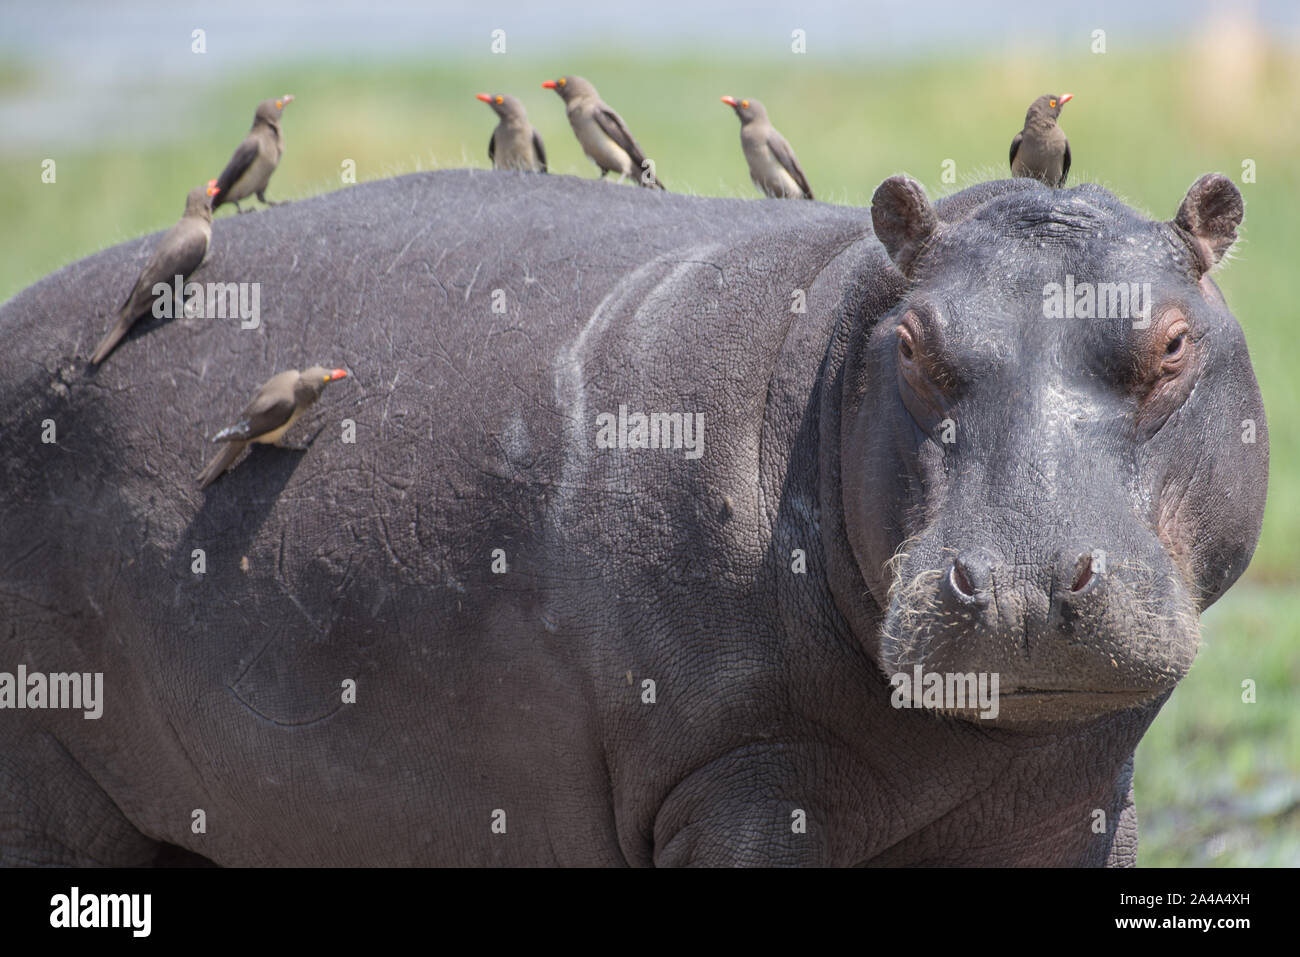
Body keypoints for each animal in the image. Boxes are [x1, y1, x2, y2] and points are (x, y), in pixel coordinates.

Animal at [0, 168, 1267, 866]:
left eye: (1170, 341)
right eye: (911, 344)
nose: (1013, 583)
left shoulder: (1075, 802)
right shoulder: (743, 784)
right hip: (47, 790)